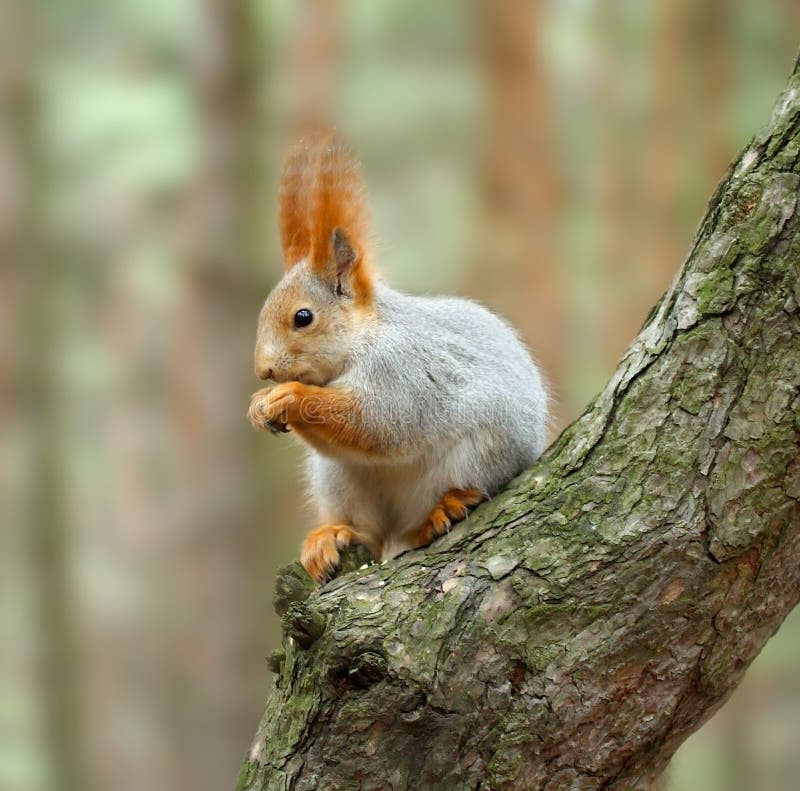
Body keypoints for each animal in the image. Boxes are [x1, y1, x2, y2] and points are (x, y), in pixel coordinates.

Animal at [248, 131, 548, 583]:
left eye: (303, 317)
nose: (263, 370)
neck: (362, 341)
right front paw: (258, 404)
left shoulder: (402, 372)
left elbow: (377, 423)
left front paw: (290, 397)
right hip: (338, 480)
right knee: (367, 531)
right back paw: (332, 536)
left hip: (476, 456)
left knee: (415, 523)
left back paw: (440, 512)